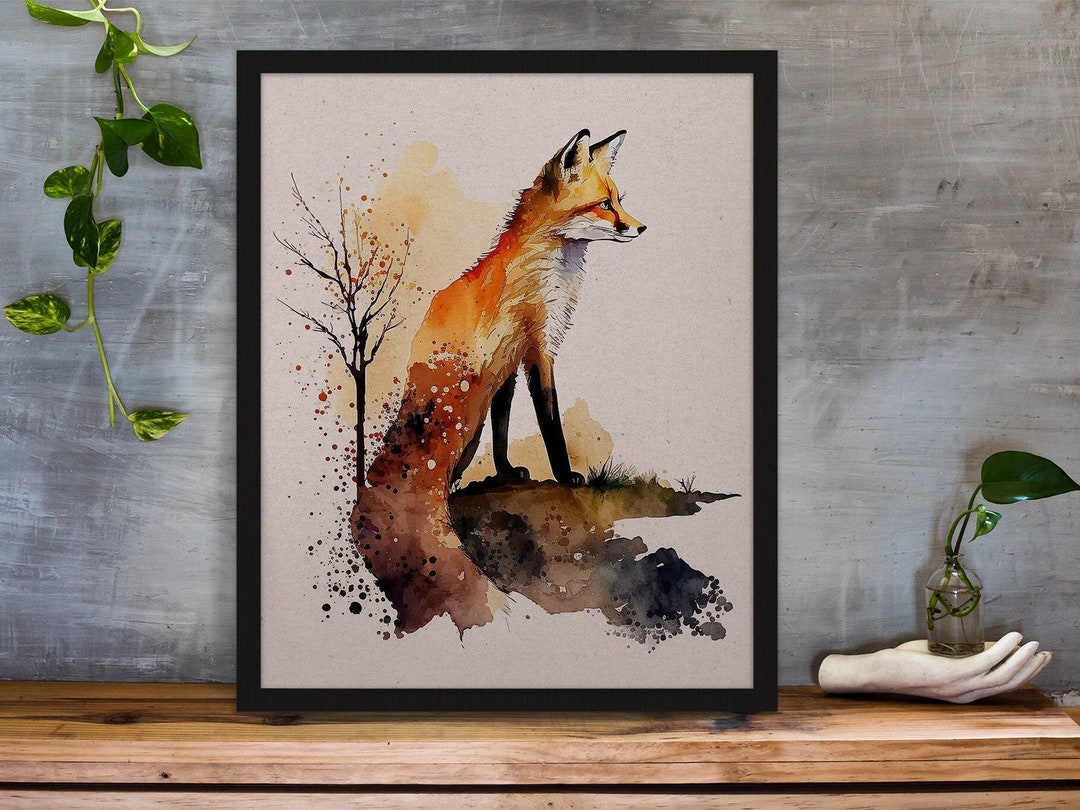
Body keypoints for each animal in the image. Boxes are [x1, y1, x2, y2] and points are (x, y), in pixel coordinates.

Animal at [352, 129, 646, 635]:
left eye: (619, 201)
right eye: (604, 205)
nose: (640, 227)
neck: (548, 263)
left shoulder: (507, 367)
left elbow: (505, 426)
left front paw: (507, 472)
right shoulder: (536, 350)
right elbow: (550, 422)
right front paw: (566, 474)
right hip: (463, 419)